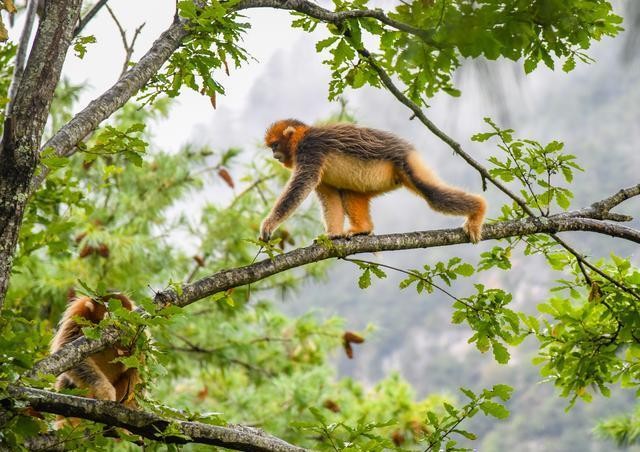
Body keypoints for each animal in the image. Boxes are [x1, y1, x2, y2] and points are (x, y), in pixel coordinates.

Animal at [260, 119, 487, 243]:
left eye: (275, 146)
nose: (274, 155)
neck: (302, 137)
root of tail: (407, 149)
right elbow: (330, 196)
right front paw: (332, 235)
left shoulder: (310, 150)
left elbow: (302, 184)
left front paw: (270, 224)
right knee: (350, 192)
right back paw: (363, 228)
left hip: (407, 162)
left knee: (433, 195)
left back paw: (478, 210)